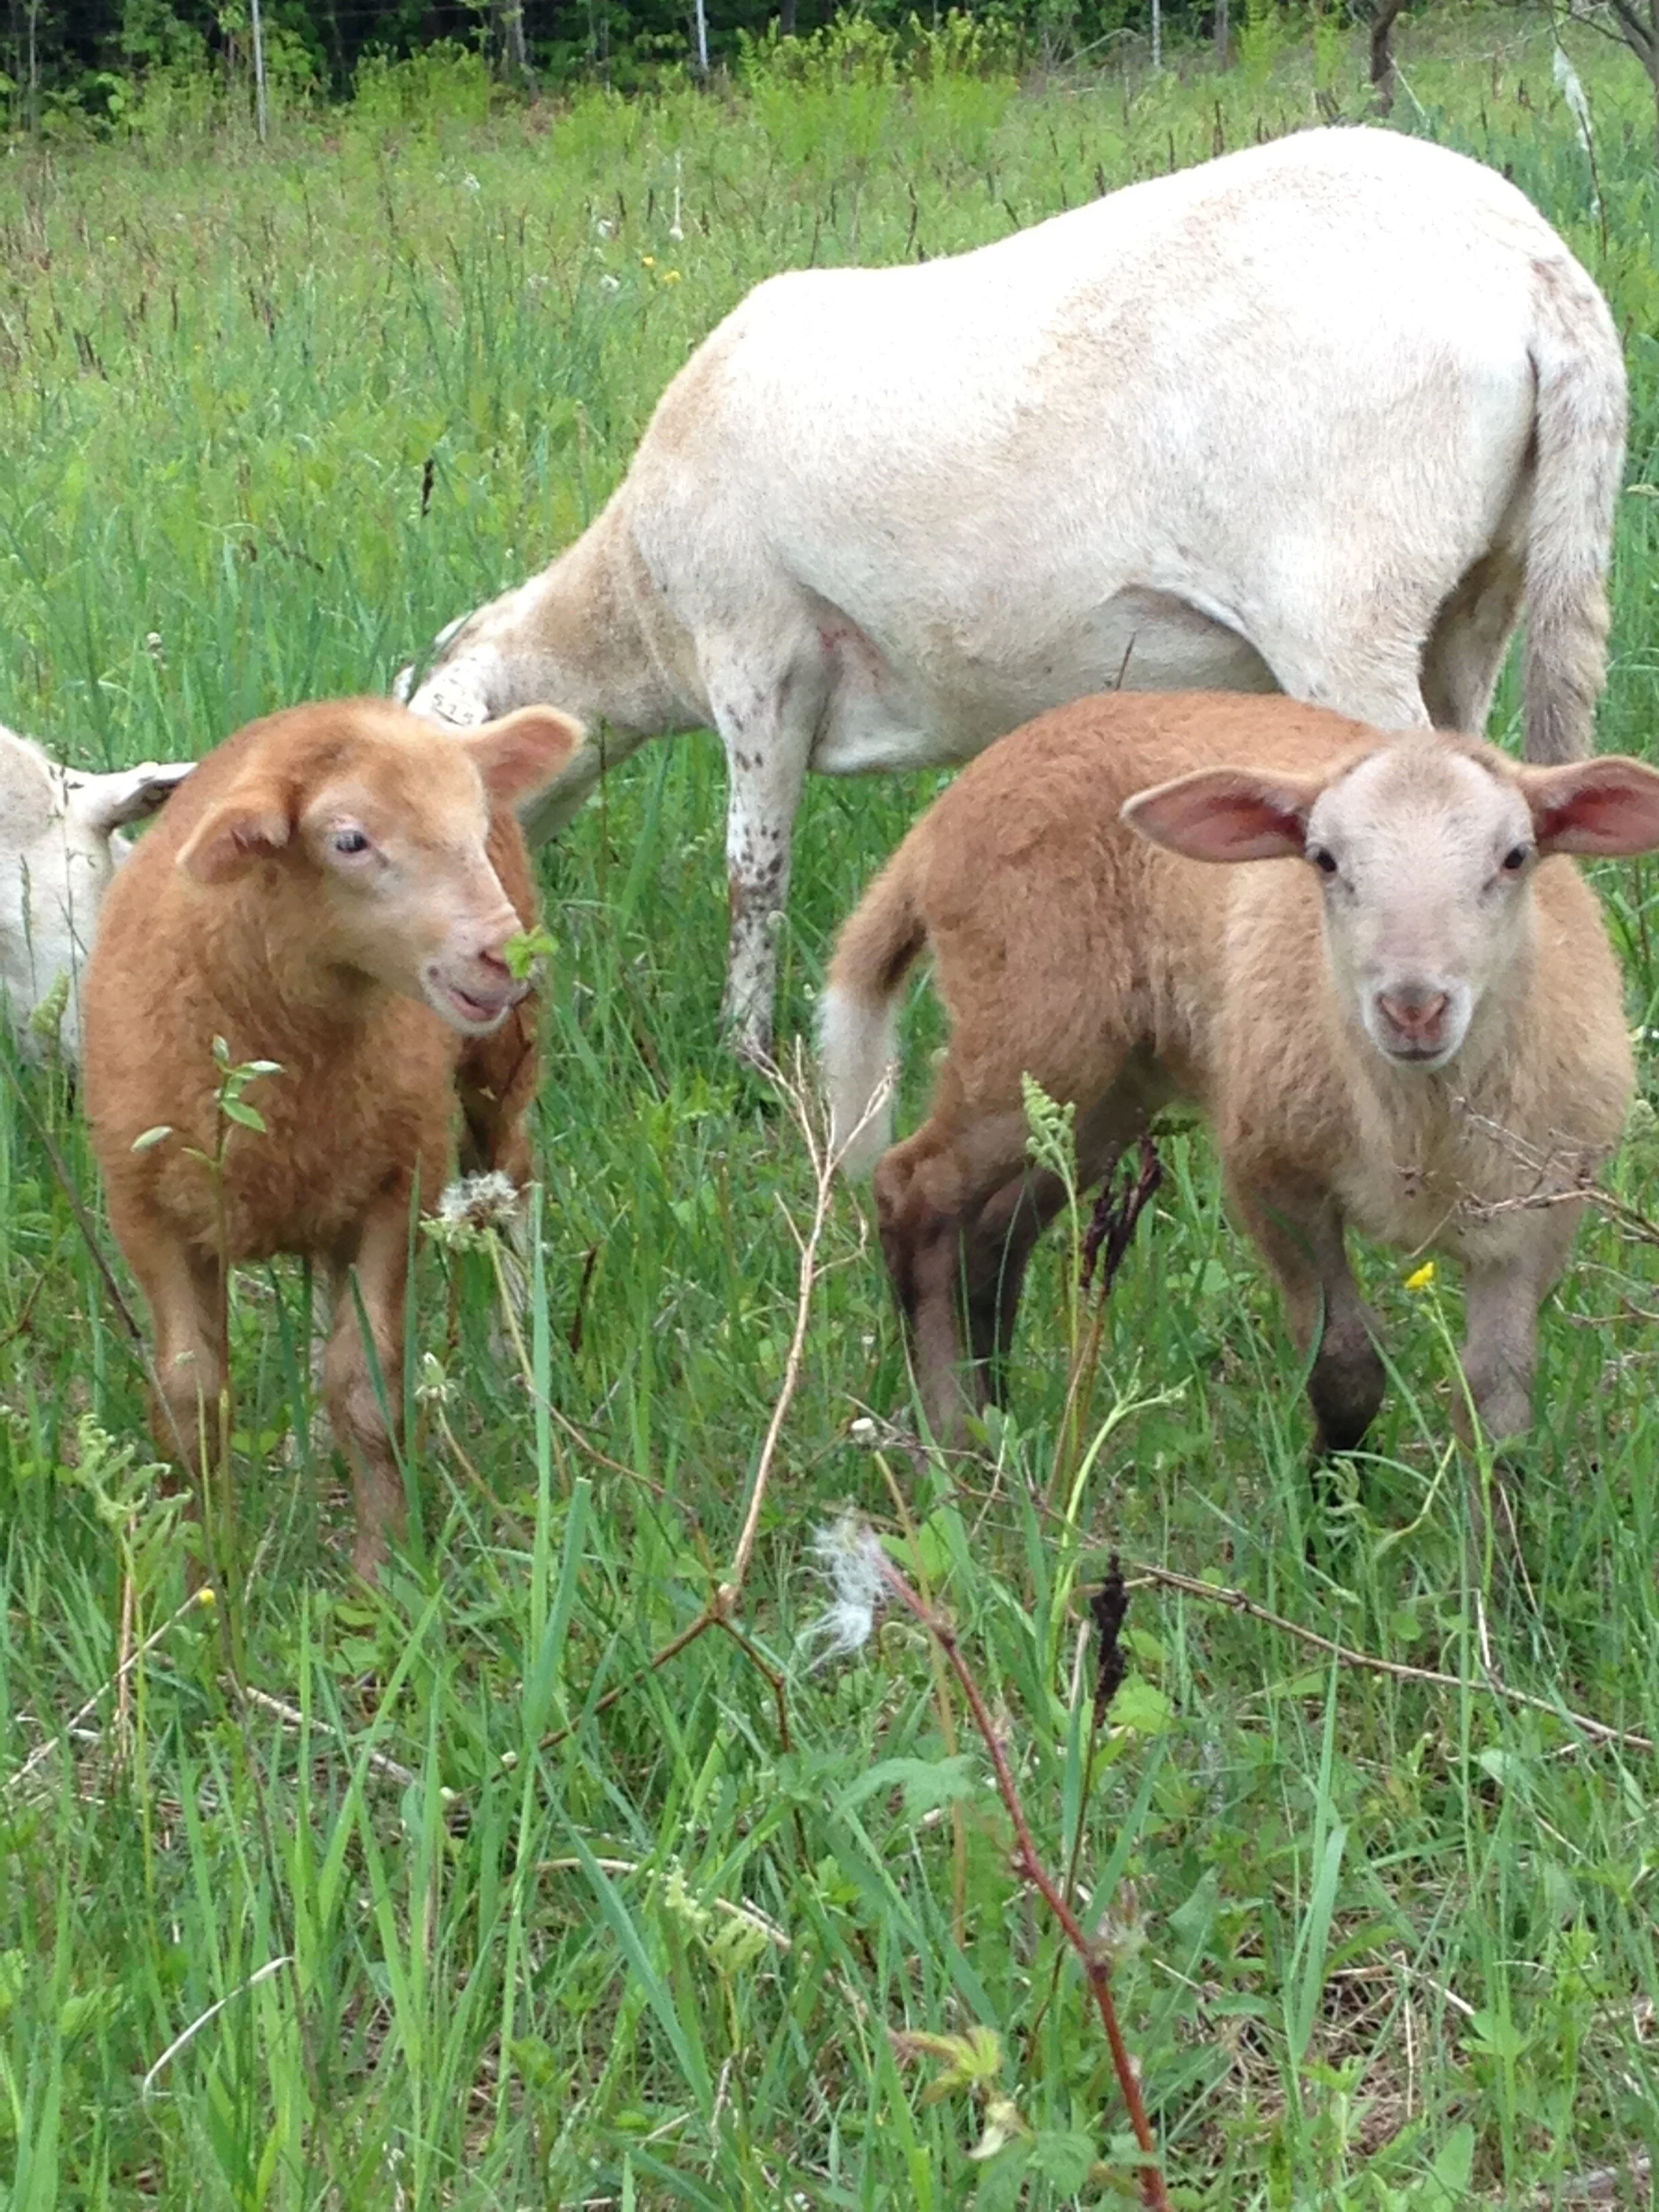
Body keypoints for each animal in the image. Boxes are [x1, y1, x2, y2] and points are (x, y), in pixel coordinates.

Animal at [83, 697, 581, 1579]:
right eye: (349, 841)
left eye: (477, 819)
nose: (504, 951)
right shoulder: (143, 1213)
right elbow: (190, 1400)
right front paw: (198, 1570)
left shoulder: (400, 1185)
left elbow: (366, 1386)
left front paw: (383, 1567)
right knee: (322, 1277)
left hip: (499, 1061)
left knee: (511, 1176)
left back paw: (514, 1348)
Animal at [397, 125, 1625, 1063]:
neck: (633, 614)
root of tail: (1532, 266)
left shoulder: (755, 647)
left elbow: (754, 872)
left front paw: (745, 1055)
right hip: (1478, 585)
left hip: (1346, 589)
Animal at [819, 692, 1659, 1467]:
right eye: (1324, 860)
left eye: (1515, 857)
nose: (1413, 1007)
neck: (1421, 1129)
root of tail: (948, 811)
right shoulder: (1272, 1174)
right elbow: (1344, 1363)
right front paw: (1332, 1504)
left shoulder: (1540, 1211)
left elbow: (1496, 1406)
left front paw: (1490, 1535)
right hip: (1030, 1030)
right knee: (917, 1193)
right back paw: (951, 1443)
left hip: (1107, 1087)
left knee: (994, 1229)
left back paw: (996, 1430)